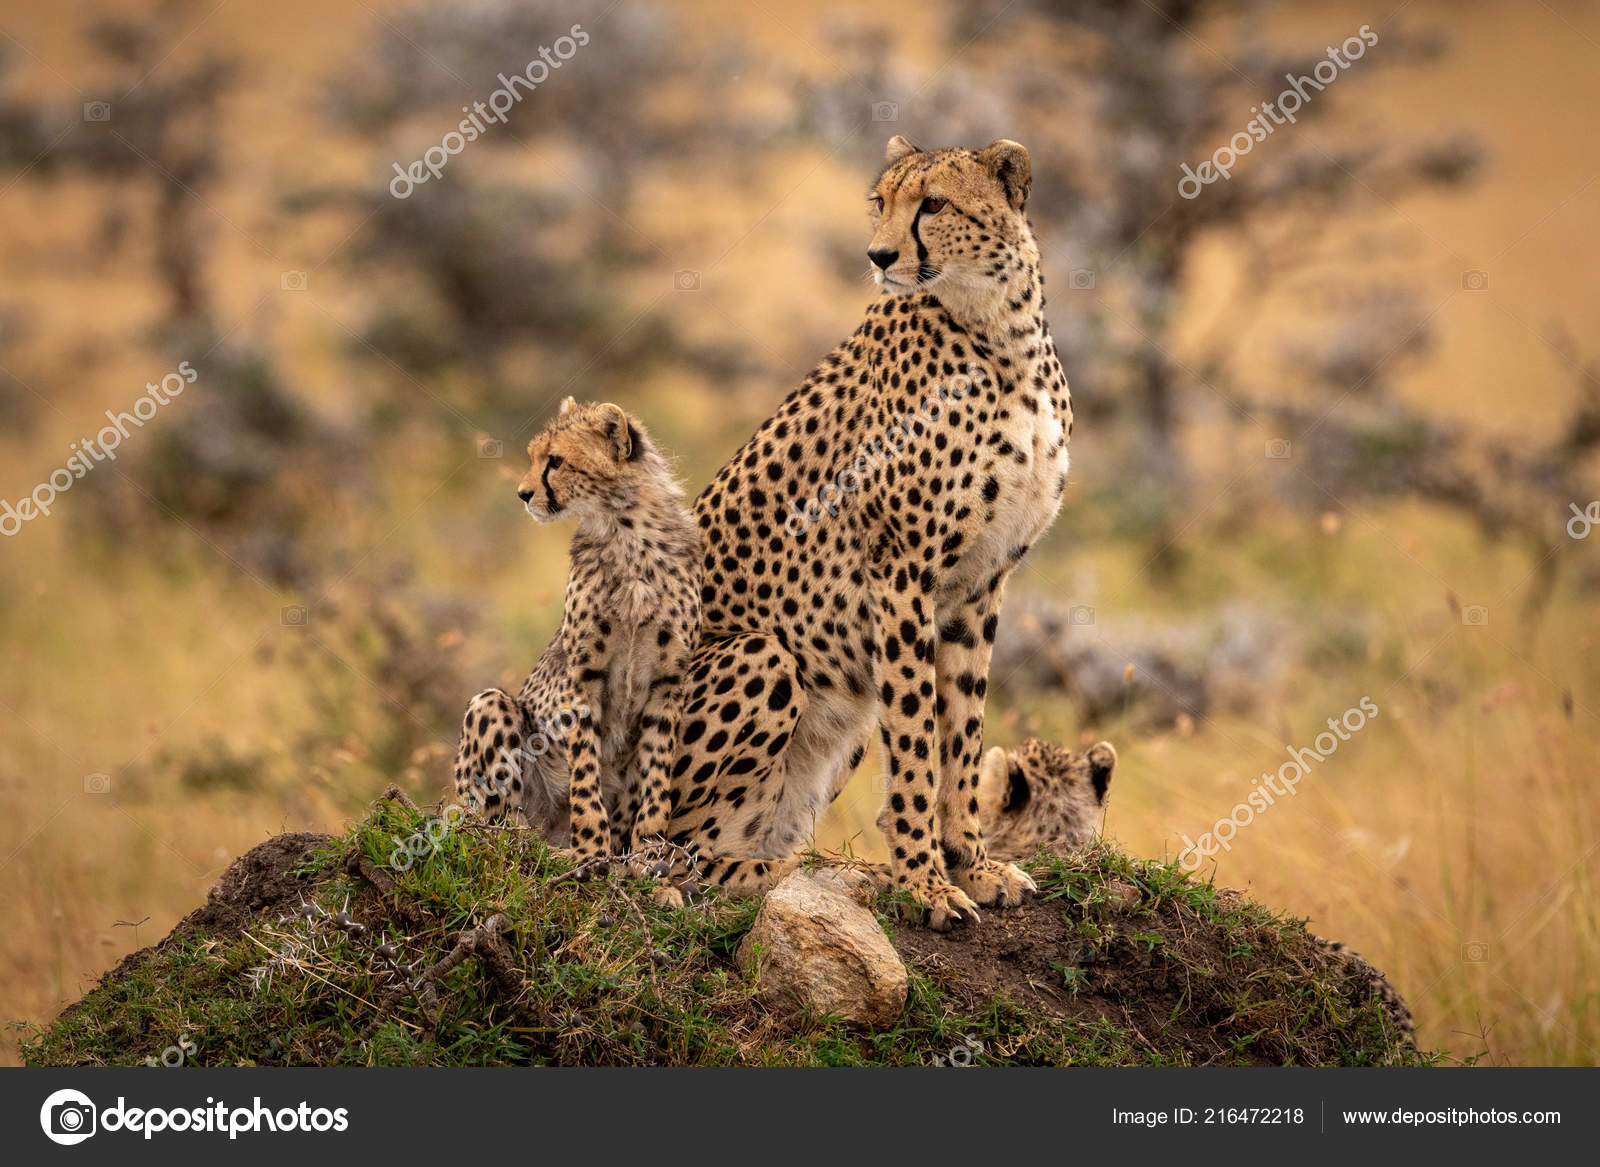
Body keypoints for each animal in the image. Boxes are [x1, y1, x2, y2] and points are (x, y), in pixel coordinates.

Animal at [450, 398, 701, 864]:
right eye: (535, 457)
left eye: (556, 461)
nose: (523, 493)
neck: (626, 533)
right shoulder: (581, 679)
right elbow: (585, 776)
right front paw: (590, 852)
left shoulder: (667, 683)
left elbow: (657, 773)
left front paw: (649, 853)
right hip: (491, 711)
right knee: (488, 826)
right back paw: (531, 843)